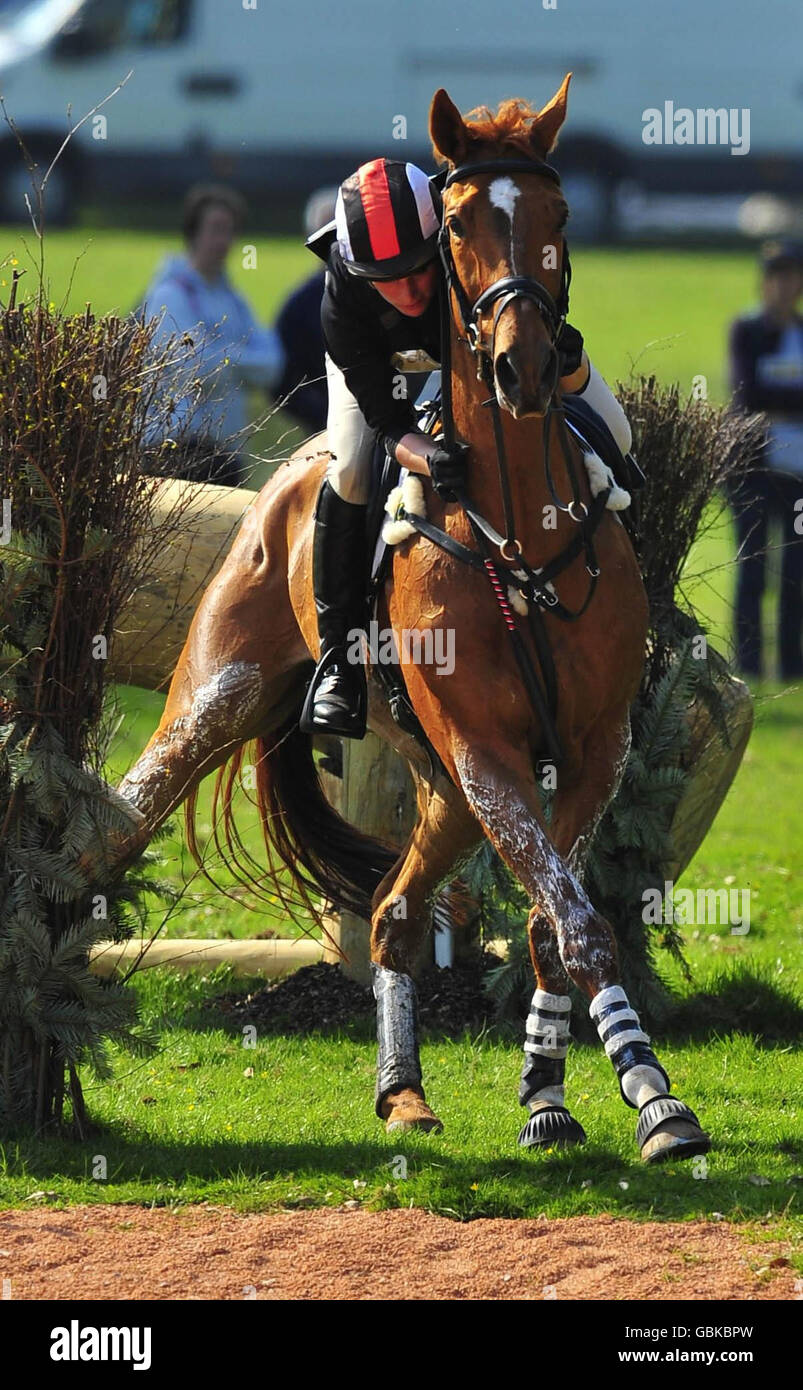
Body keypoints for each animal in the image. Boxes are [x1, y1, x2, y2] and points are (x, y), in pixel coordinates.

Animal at [110, 76, 710, 1163]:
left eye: (560, 216)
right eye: (460, 224)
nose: (525, 366)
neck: (517, 529)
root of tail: (286, 477)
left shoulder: (589, 749)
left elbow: (550, 920)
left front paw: (550, 1092)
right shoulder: (485, 748)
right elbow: (576, 921)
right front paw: (653, 1098)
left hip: (437, 784)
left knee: (393, 910)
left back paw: (404, 1092)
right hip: (219, 697)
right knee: (138, 805)